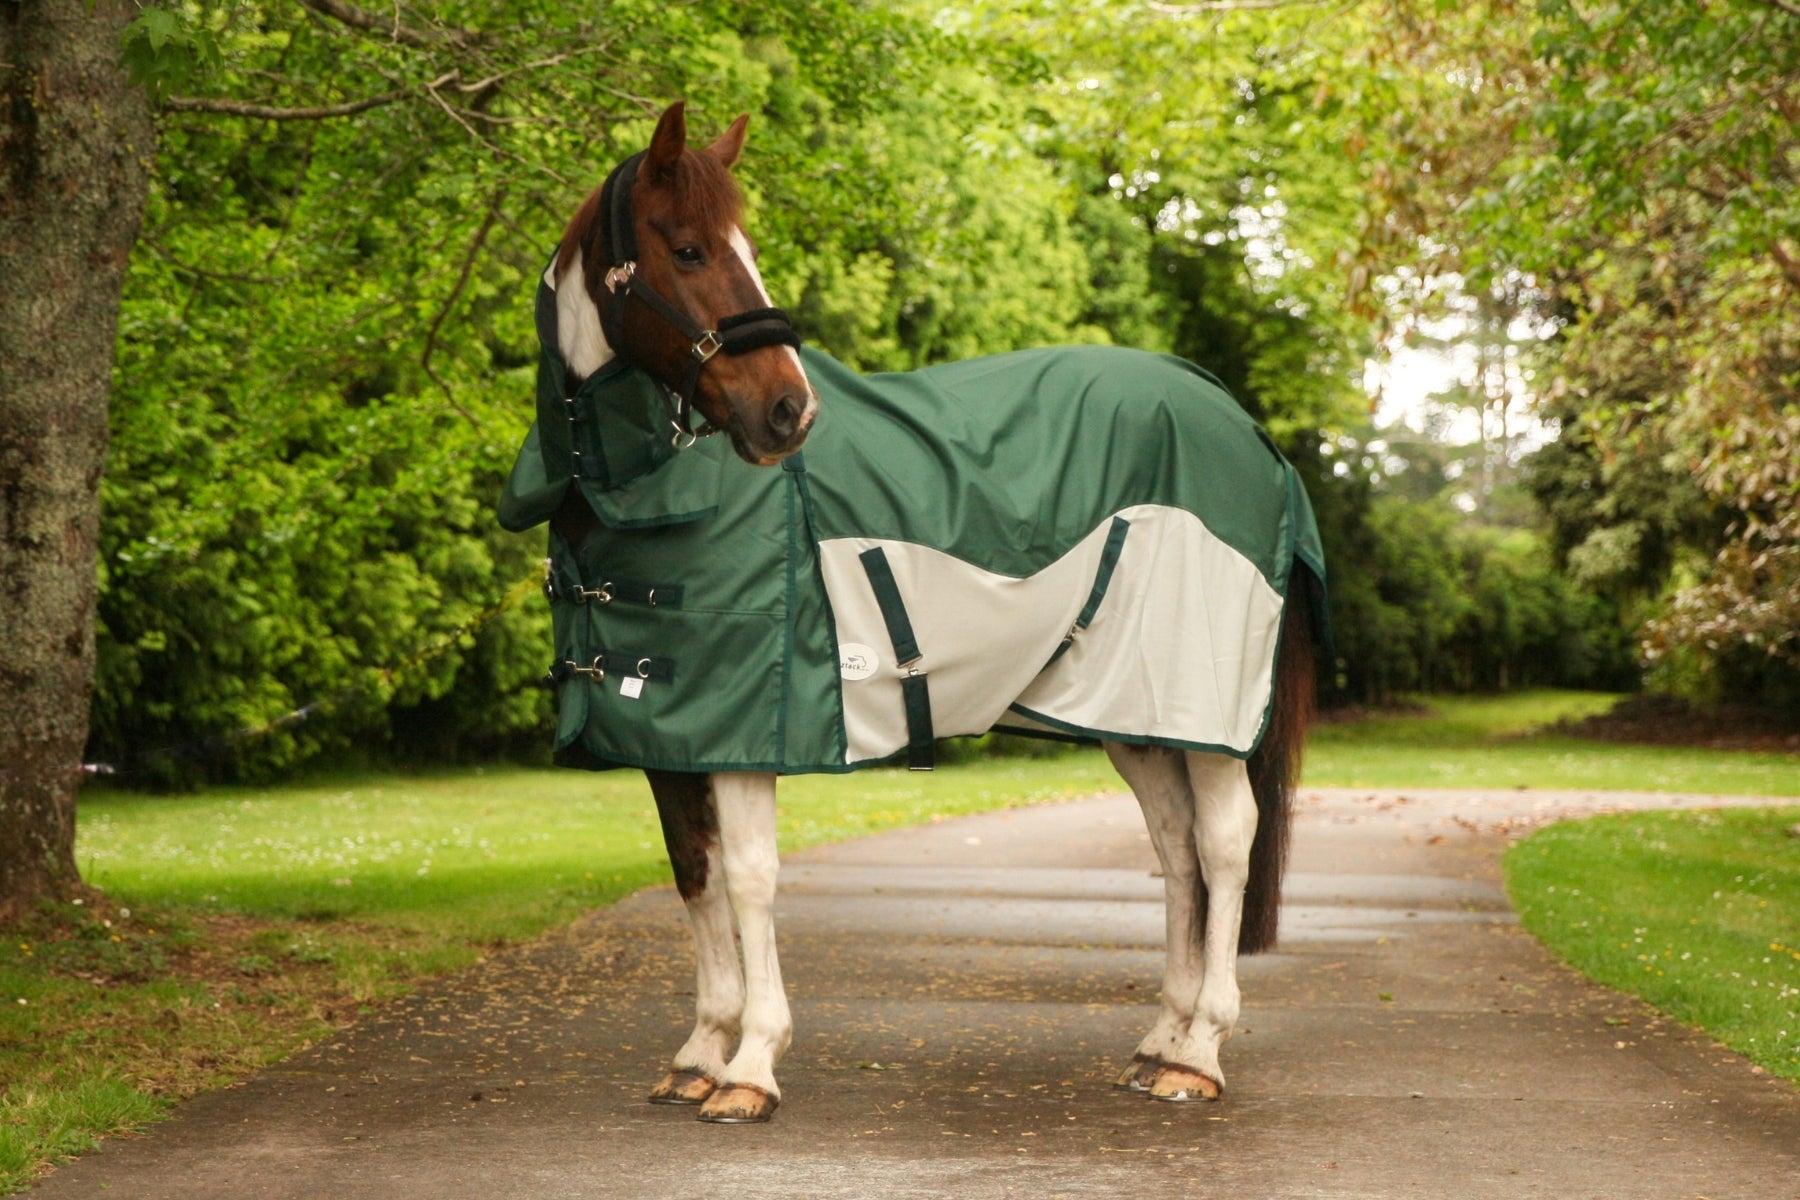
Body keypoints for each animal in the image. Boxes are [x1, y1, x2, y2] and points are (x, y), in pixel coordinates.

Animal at [497, 101, 1324, 1124]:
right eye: (687, 249)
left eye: (742, 247)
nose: (788, 412)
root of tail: (1244, 425)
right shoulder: (668, 733)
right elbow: (694, 874)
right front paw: (699, 1052)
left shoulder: (748, 728)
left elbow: (749, 878)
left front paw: (750, 1066)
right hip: (1133, 714)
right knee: (1176, 850)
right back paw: (1160, 1041)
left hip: (1199, 703)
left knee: (1224, 841)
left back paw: (1201, 1050)